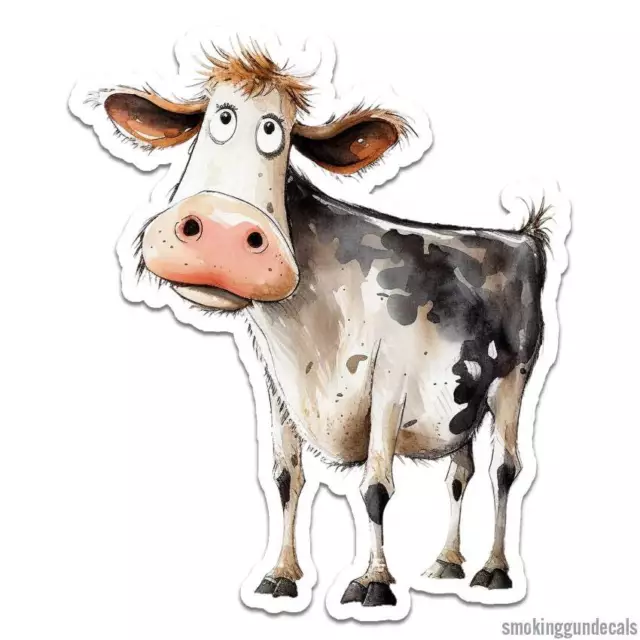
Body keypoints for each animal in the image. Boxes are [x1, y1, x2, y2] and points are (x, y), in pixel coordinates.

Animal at [72, 37, 566, 613]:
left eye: (276, 133)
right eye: (216, 119)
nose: (223, 231)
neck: (310, 330)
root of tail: (521, 236)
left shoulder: (391, 382)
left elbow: (376, 488)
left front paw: (374, 581)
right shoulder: (278, 386)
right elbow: (286, 478)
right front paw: (281, 574)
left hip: (515, 378)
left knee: (504, 469)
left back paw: (492, 569)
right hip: (465, 397)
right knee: (459, 472)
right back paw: (446, 562)